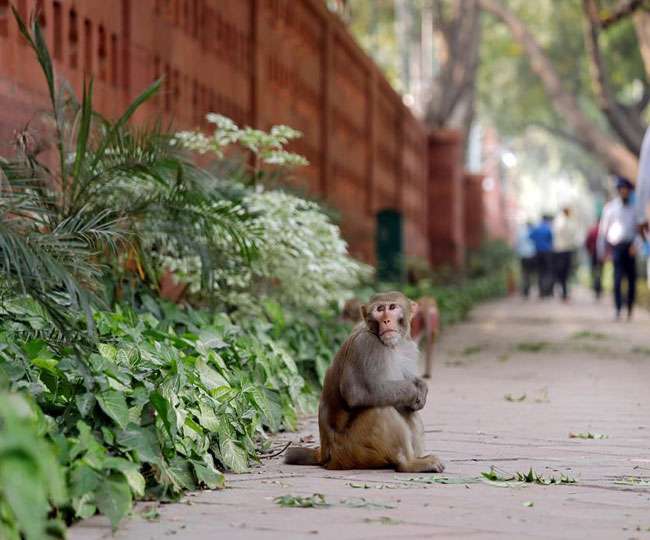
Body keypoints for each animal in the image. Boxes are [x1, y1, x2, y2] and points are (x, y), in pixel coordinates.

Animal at [285, 291, 445, 473]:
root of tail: (325, 454)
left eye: (392, 307)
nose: (386, 320)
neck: (391, 345)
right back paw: (408, 463)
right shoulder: (366, 345)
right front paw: (413, 390)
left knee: (407, 411)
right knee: (381, 409)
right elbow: (358, 392)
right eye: (379, 309)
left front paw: (421, 387)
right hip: (352, 452)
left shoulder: (408, 347)